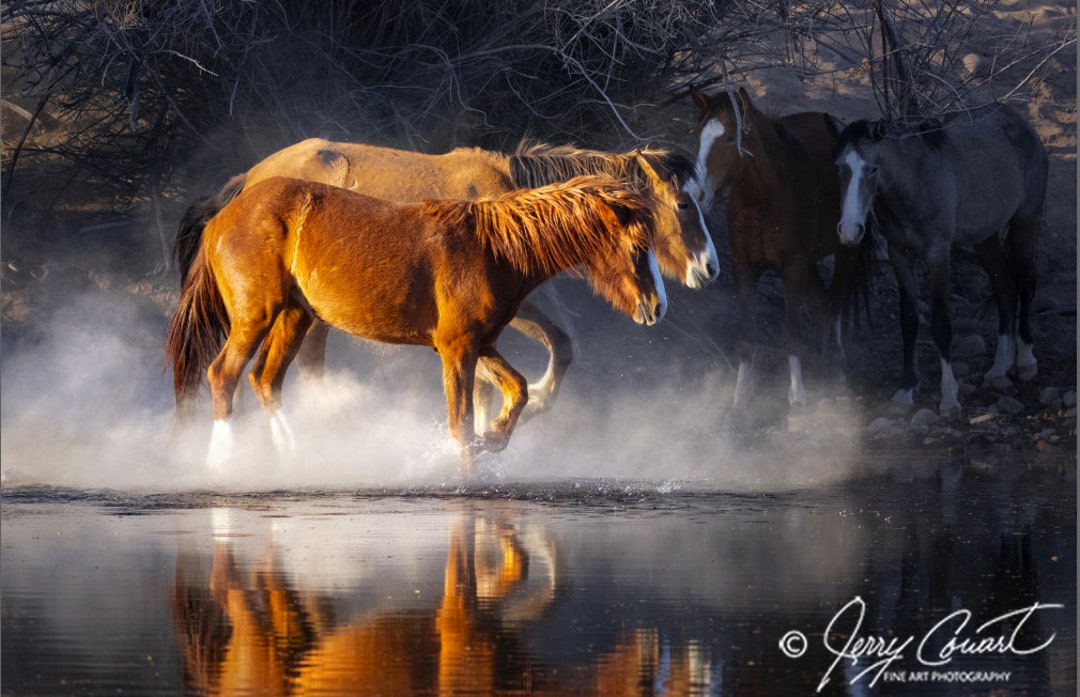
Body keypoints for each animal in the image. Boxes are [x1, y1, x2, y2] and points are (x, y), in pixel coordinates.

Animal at [166, 175, 666, 469]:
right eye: (637, 247)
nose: (657, 307)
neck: (494, 250)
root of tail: (221, 218)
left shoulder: (479, 344)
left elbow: (519, 389)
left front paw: (495, 438)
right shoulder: (457, 349)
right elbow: (460, 423)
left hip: (294, 316)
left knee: (264, 381)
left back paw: (294, 456)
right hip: (255, 317)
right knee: (223, 376)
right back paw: (225, 462)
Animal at [174, 139, 717, 428]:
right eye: (682, 204)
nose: (709, 267)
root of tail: (245, 184)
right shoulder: (512, 305)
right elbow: (561, 346)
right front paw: (530, 405)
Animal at [690, 86, 871, 417]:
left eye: (729, 138)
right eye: (698, 135)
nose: (697, 195)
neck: (763, 199)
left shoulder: (792, 269)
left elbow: (791, 336)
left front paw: (797, 397)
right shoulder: (744, 268)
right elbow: (747, 336)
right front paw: (741, 395)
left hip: (847, 250)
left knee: (836, 305)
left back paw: (836, 369)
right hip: (811, 264)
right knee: (822, 307)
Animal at [827, 104, 1047, 416]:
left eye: (873, 169)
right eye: (838, 168)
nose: (849, 230)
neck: (915, 183)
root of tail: (1022, 125)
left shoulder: (937, 255)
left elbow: (941, 325)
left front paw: (949, 398)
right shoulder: (900, 255)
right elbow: (908, 321)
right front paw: (906, 391)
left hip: (1025, 222)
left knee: (1026, 283)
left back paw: (1026, 361)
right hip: (986, 239)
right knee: (1005, 290)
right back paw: (999, 368)